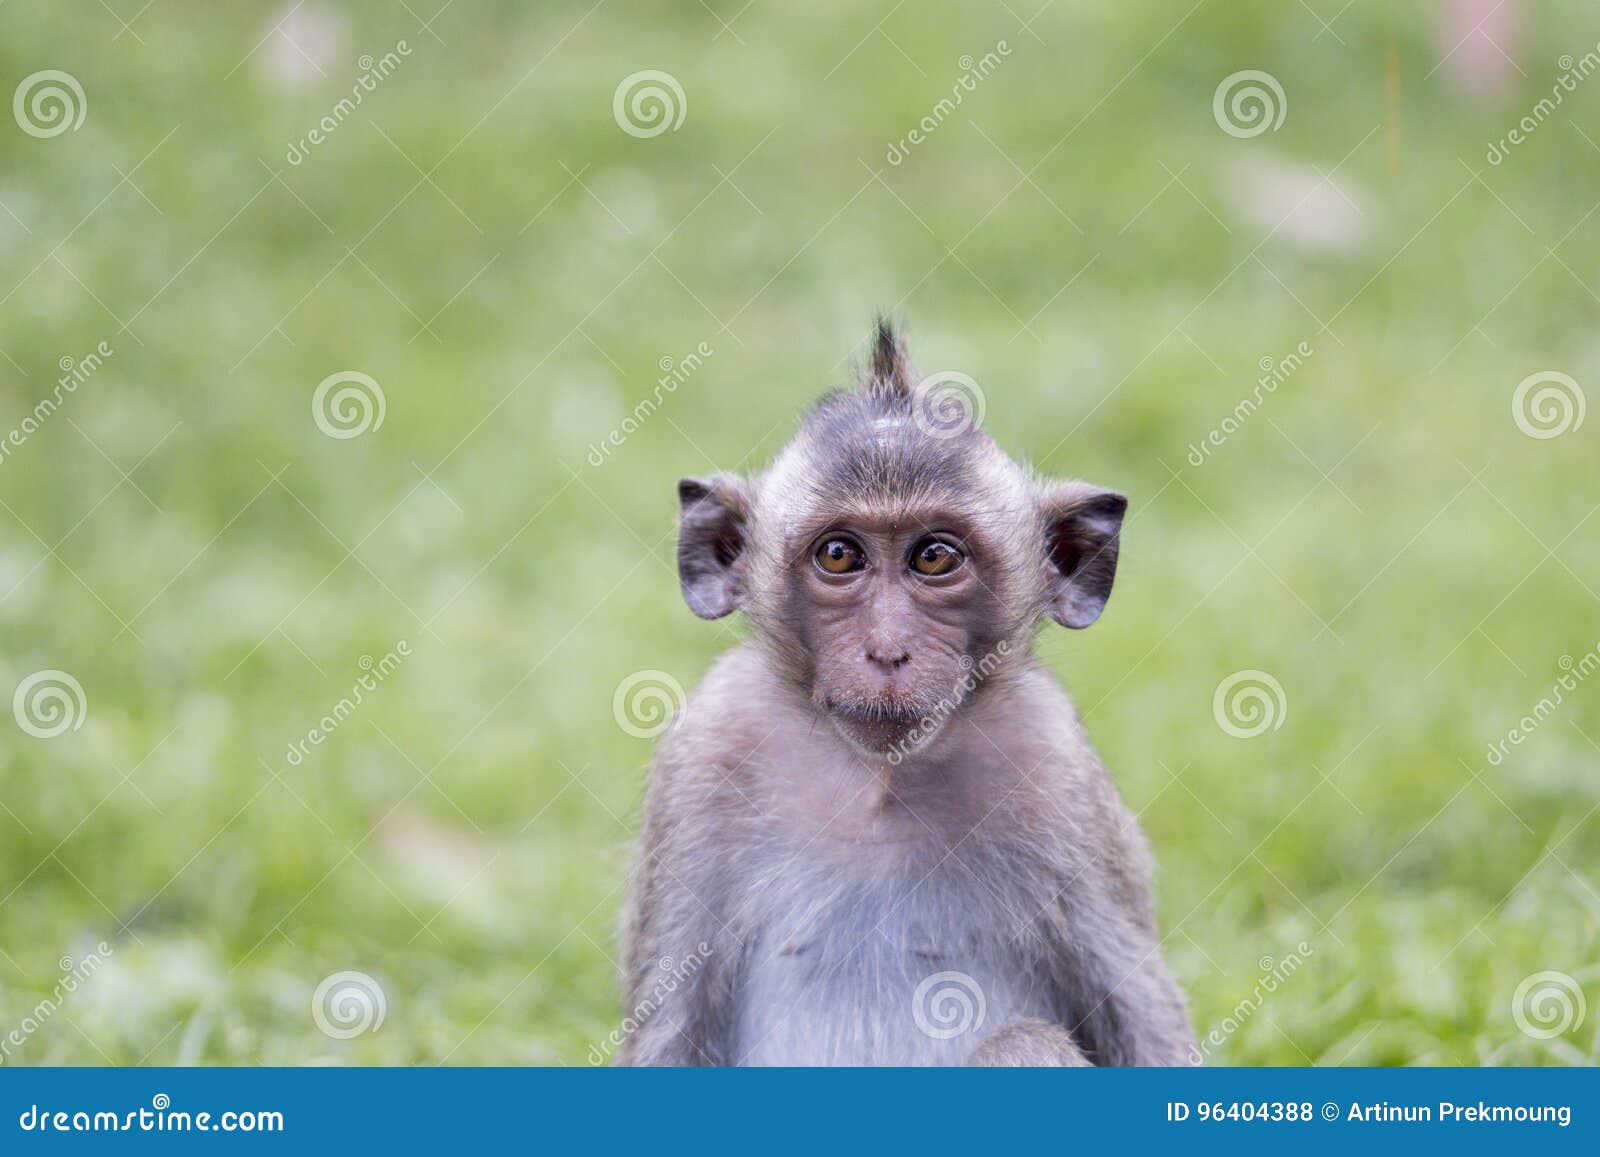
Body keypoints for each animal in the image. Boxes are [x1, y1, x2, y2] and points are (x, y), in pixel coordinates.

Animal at [615, 319, 1195, 1066]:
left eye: (934, 557)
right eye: (839, 555)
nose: (888, 650)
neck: (880, 777)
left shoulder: (1053, 760)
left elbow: (1144, 1022)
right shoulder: (708, 748)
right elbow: (669, 1027)